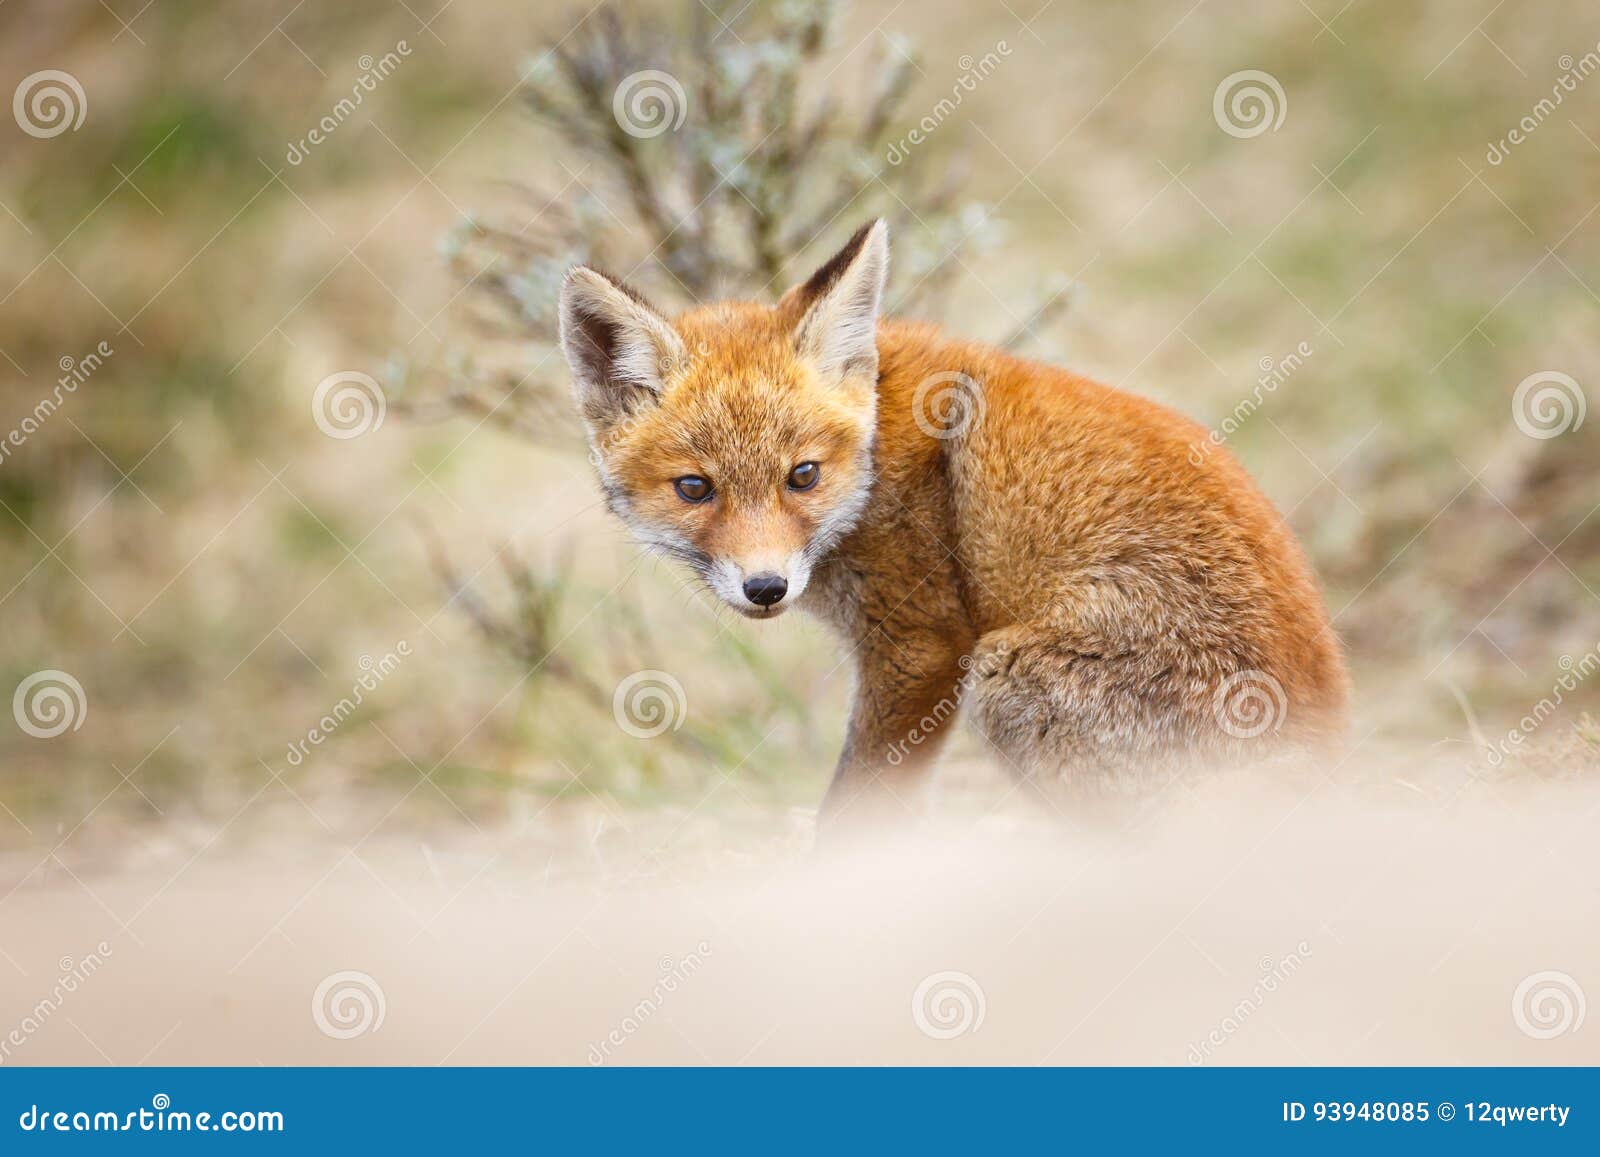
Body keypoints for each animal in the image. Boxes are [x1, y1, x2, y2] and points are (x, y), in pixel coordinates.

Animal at [559, 220, 1349, 822]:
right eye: (695, 488)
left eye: (802, 476)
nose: (766, 587)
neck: (877, 450)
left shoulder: (923, 647)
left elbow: (854, 814)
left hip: (1005, 676)